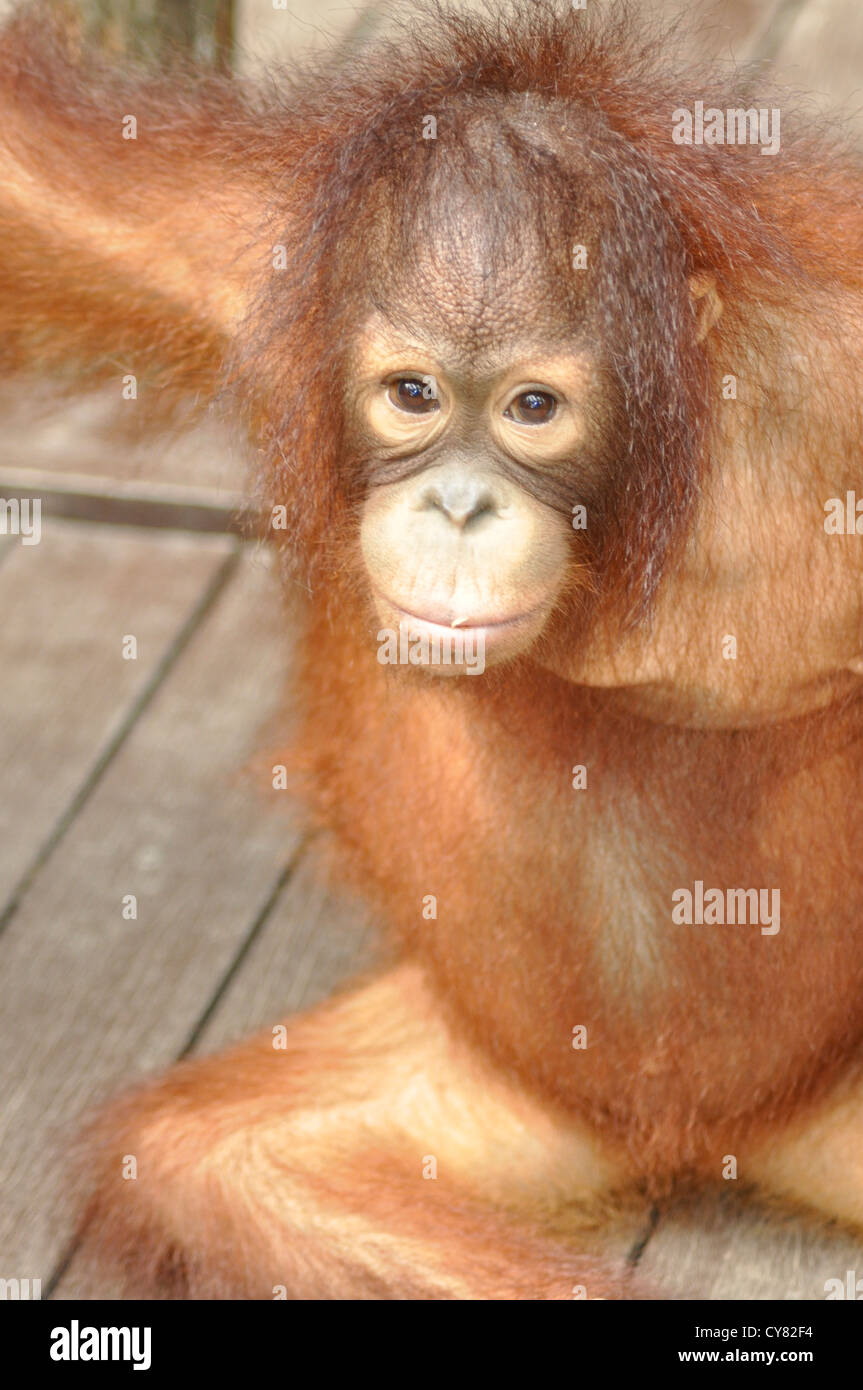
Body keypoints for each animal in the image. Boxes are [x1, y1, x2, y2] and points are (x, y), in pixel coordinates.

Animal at [1, 0, 863, 1298]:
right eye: (411, 394)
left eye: (531, 409)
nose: (458, 505)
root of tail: (697, 1140)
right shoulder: (250, 255)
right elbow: (44, 202)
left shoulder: (831, 389)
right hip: (486, 1086)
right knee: (216, 1164)